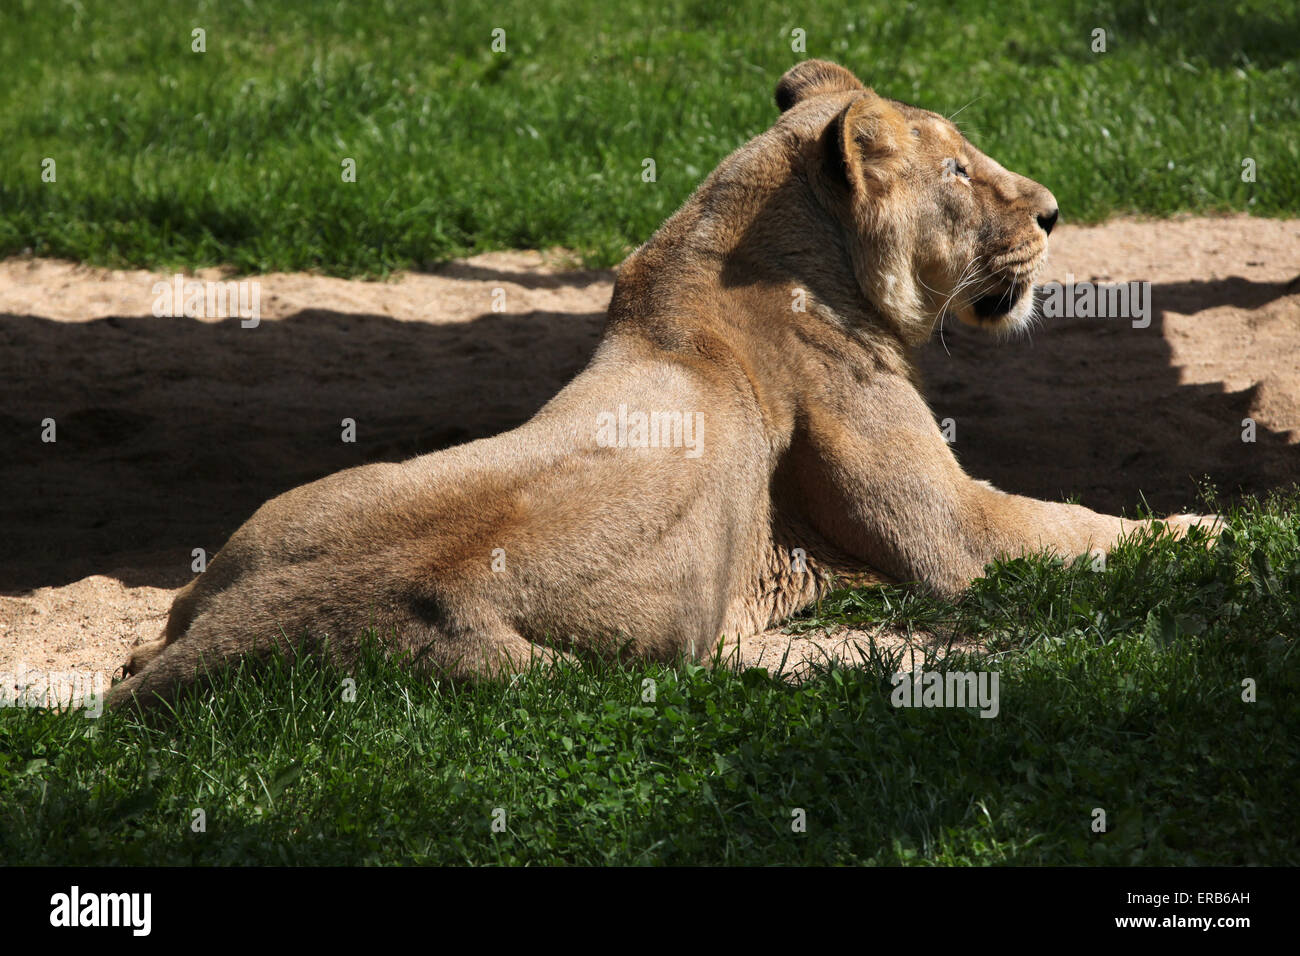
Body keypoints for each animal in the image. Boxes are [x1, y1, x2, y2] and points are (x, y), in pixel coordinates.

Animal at [107, 60, 1216, 710]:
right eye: (956, 171)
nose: (1054, 211)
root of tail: (255, 635)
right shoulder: (950, 535)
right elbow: (1079, 526)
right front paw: (1212, 528)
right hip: (568, 679)